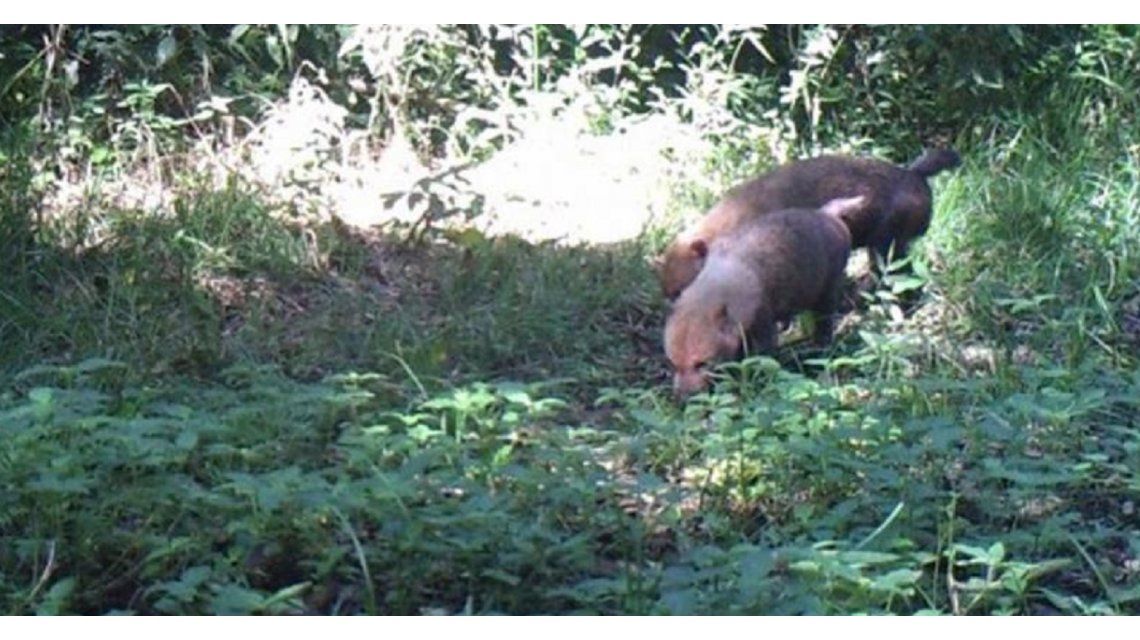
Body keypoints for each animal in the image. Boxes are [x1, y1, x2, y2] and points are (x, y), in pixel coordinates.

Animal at [664, 197, 860, 397]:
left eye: (701, 363)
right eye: (673, 363)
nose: (683, 397)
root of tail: (829, 215)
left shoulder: (762, 320)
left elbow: (761, 357)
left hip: (828, 288)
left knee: (824, 320)